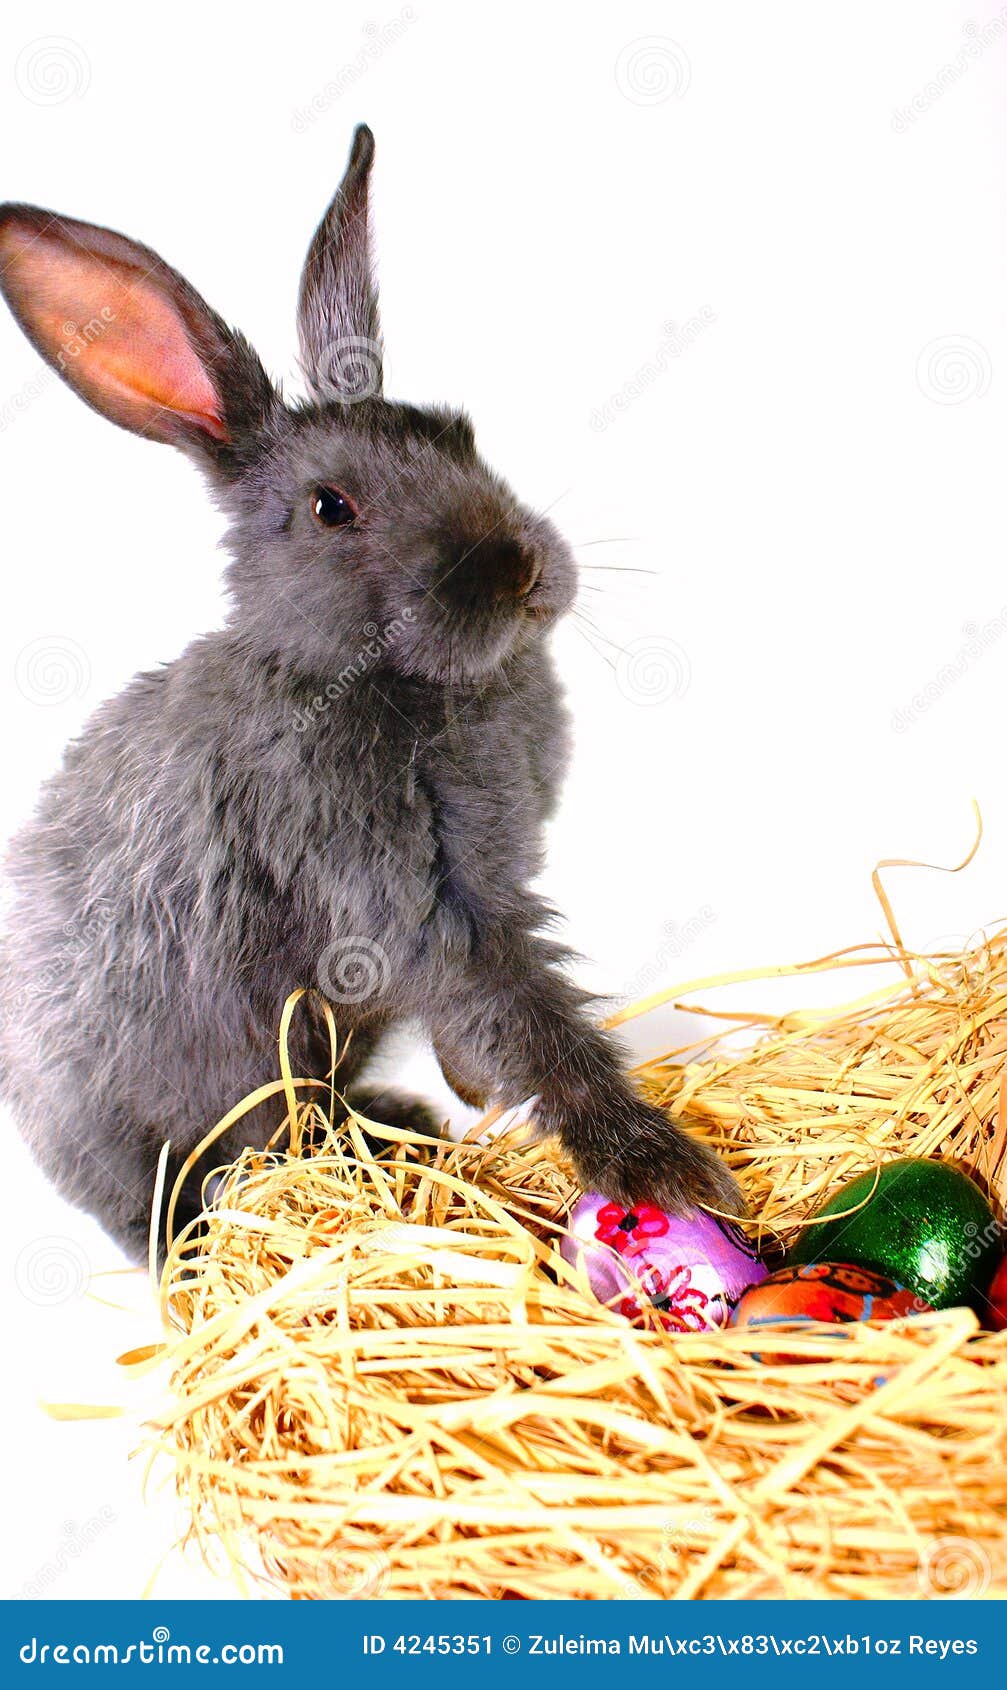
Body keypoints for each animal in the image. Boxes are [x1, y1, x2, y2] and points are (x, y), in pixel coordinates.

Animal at [0, 125, 742, 1263]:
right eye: (330, 508)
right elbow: (527, 1020)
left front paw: (476, 1097)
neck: (380, 676)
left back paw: (401, 1129)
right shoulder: (415, 903)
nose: (517, 568)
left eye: (458, 434)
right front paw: (668, 1171)